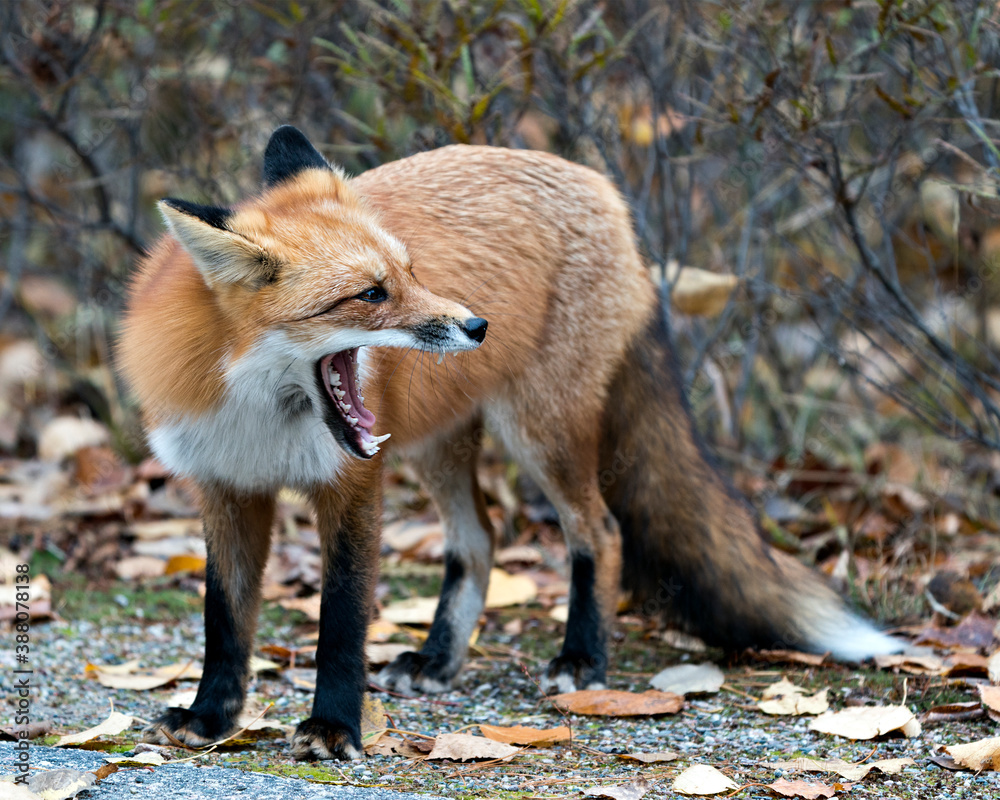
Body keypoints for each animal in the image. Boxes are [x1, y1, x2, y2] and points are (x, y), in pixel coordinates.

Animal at [118, 125, 900, 761]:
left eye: (410, 273)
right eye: (371, 294)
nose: (476, 325)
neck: (256, 408)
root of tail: (601, 188)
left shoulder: (351, 483)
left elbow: (341, 621)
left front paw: (335, 729)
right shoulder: (225, 488)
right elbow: (225, 619)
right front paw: (211, 718)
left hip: (541, 431)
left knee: (600, 531)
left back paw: (581, 660)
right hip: (436, 444)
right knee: (480, 538)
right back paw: (439, 660)